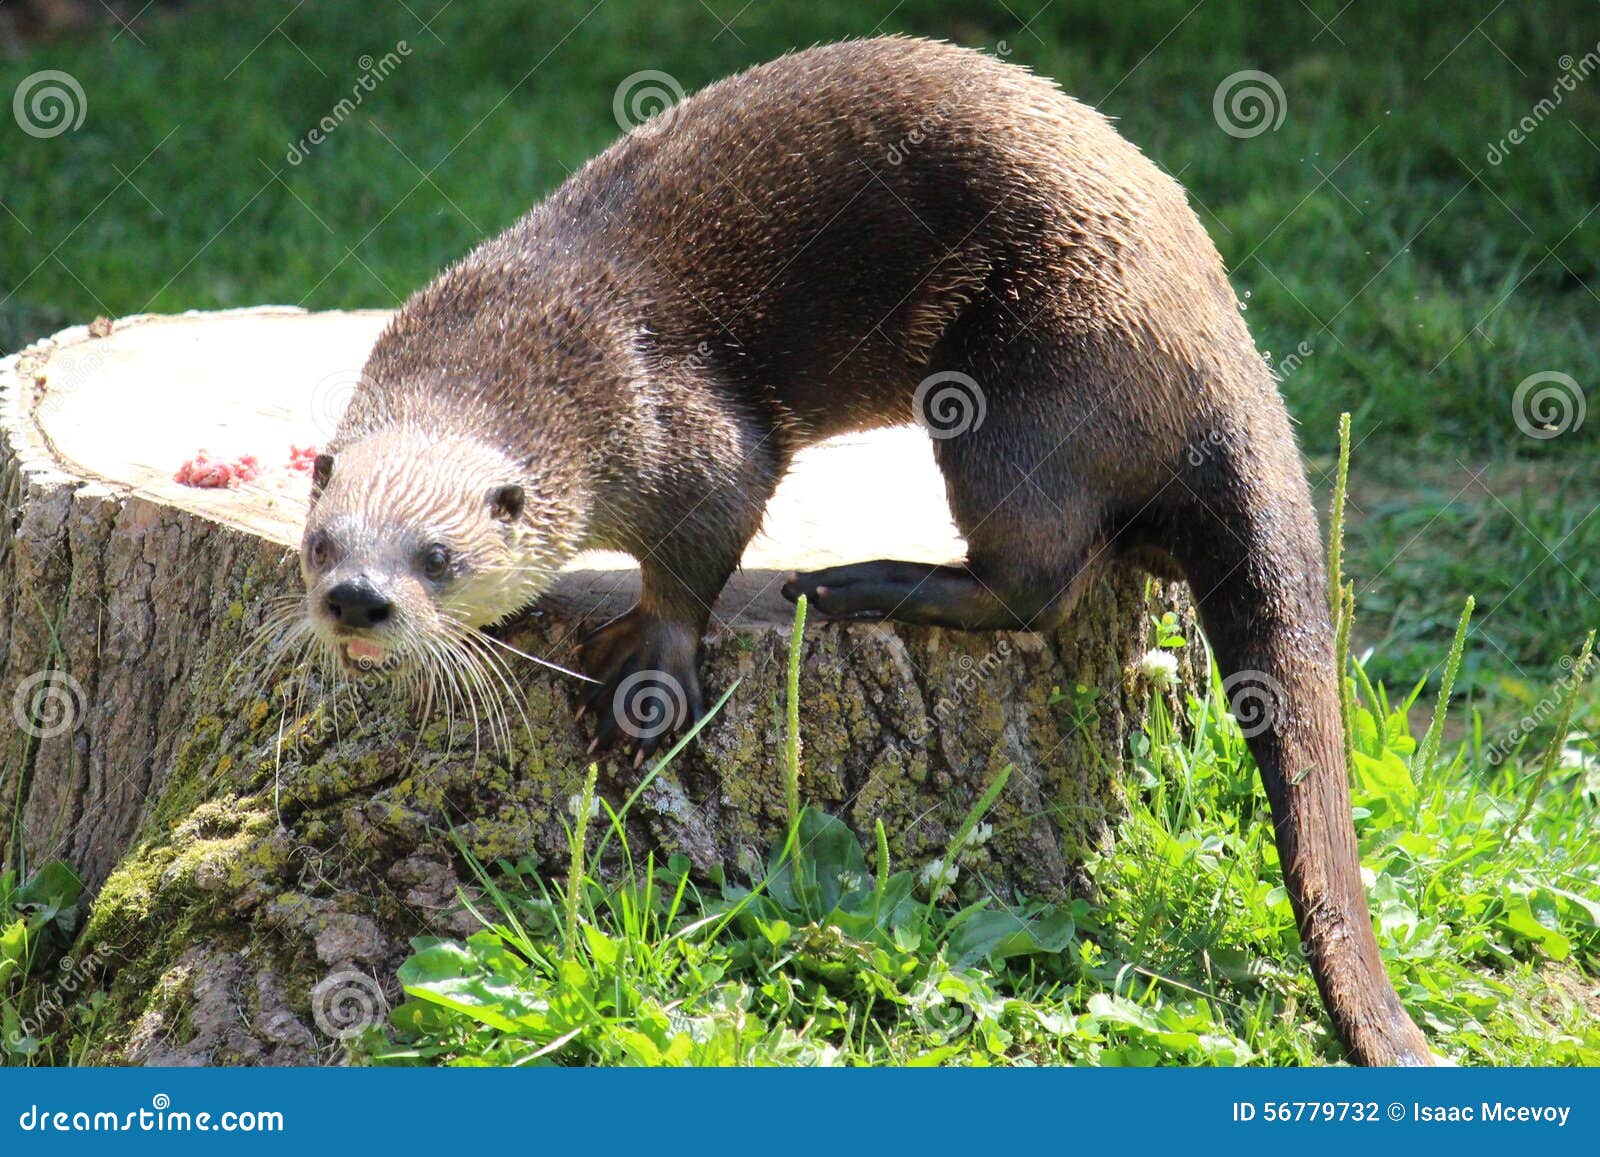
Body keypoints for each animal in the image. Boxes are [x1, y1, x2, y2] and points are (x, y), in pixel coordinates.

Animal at [299, 37, 1432, 1065]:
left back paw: (861, 583)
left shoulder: (679, 431)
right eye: (320, 543)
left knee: (1039, 579)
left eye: (437, 555)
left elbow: (702, 544)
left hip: (1030, 374)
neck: (536, 352)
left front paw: (643, 675)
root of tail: (1224, 345)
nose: (356, 598)